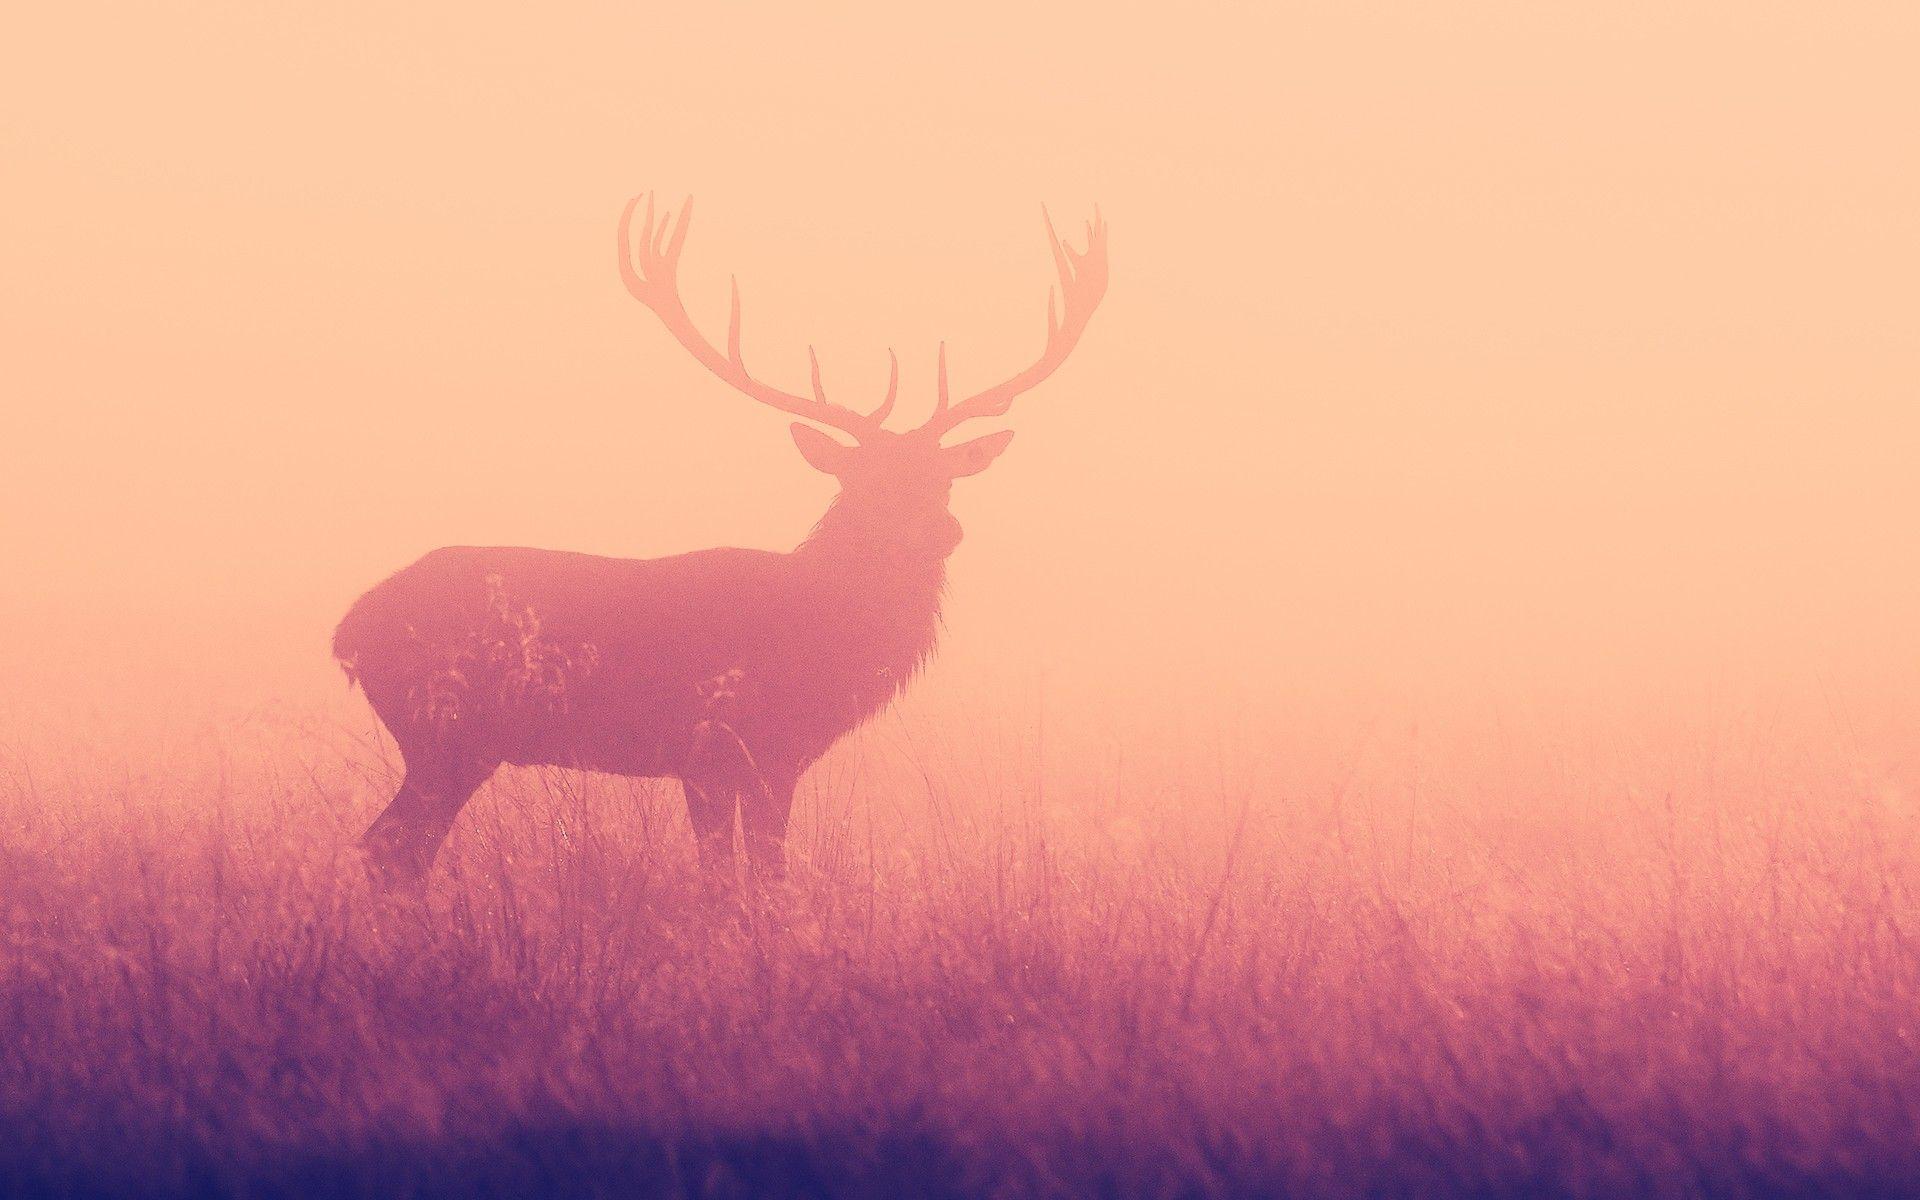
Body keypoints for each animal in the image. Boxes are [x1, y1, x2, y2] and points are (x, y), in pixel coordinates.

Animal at [333, 194, 1108, 890]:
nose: (945, 531)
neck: (820, 642)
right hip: (445, 731)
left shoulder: (761, 759)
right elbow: (740, 880)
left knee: (395, 847)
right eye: (866, 479)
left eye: (945, 479)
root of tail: (348, 630)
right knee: (387, 846)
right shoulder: (722, 747)